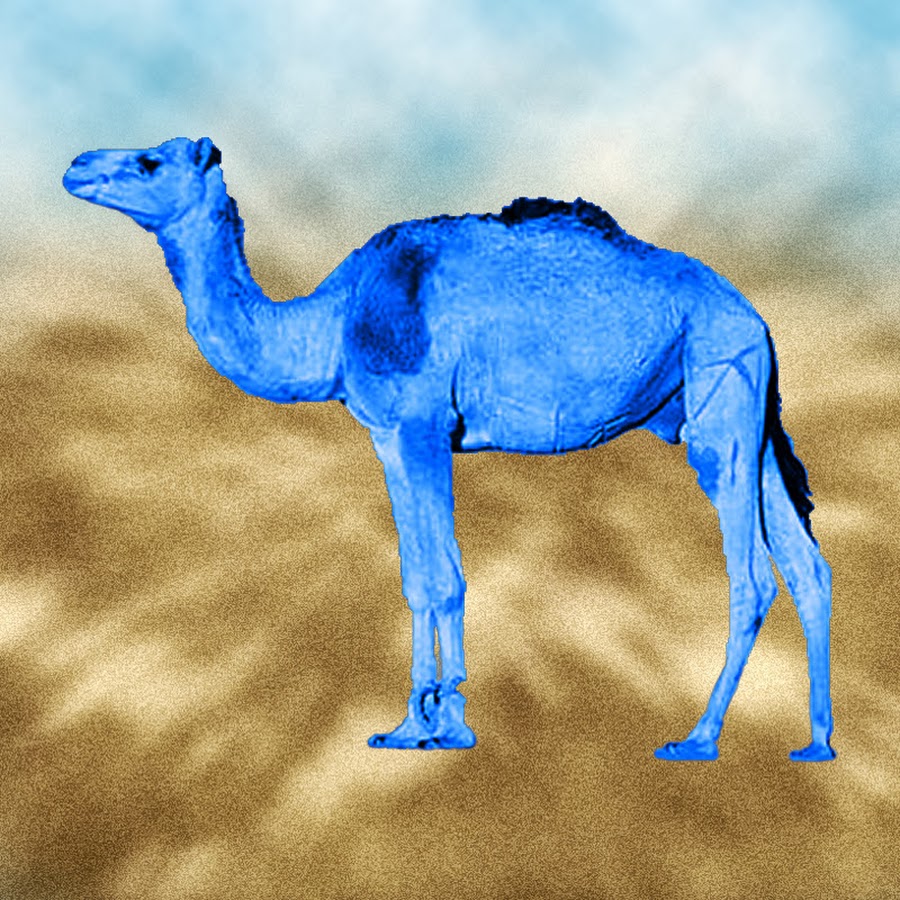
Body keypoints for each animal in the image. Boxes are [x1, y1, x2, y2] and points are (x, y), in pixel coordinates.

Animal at [62, 136, 835, 761]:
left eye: (148, 161)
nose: (76, 166)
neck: (333, 320)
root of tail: (756, 317)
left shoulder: (423, 422)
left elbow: (444, 576)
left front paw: (451, 724)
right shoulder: (388, 435)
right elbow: (415, 576)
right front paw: (409, 725)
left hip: (718, 389)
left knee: (753, 573)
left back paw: (697, 738)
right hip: (749, 418)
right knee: (808, 566)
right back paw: (816, 742)